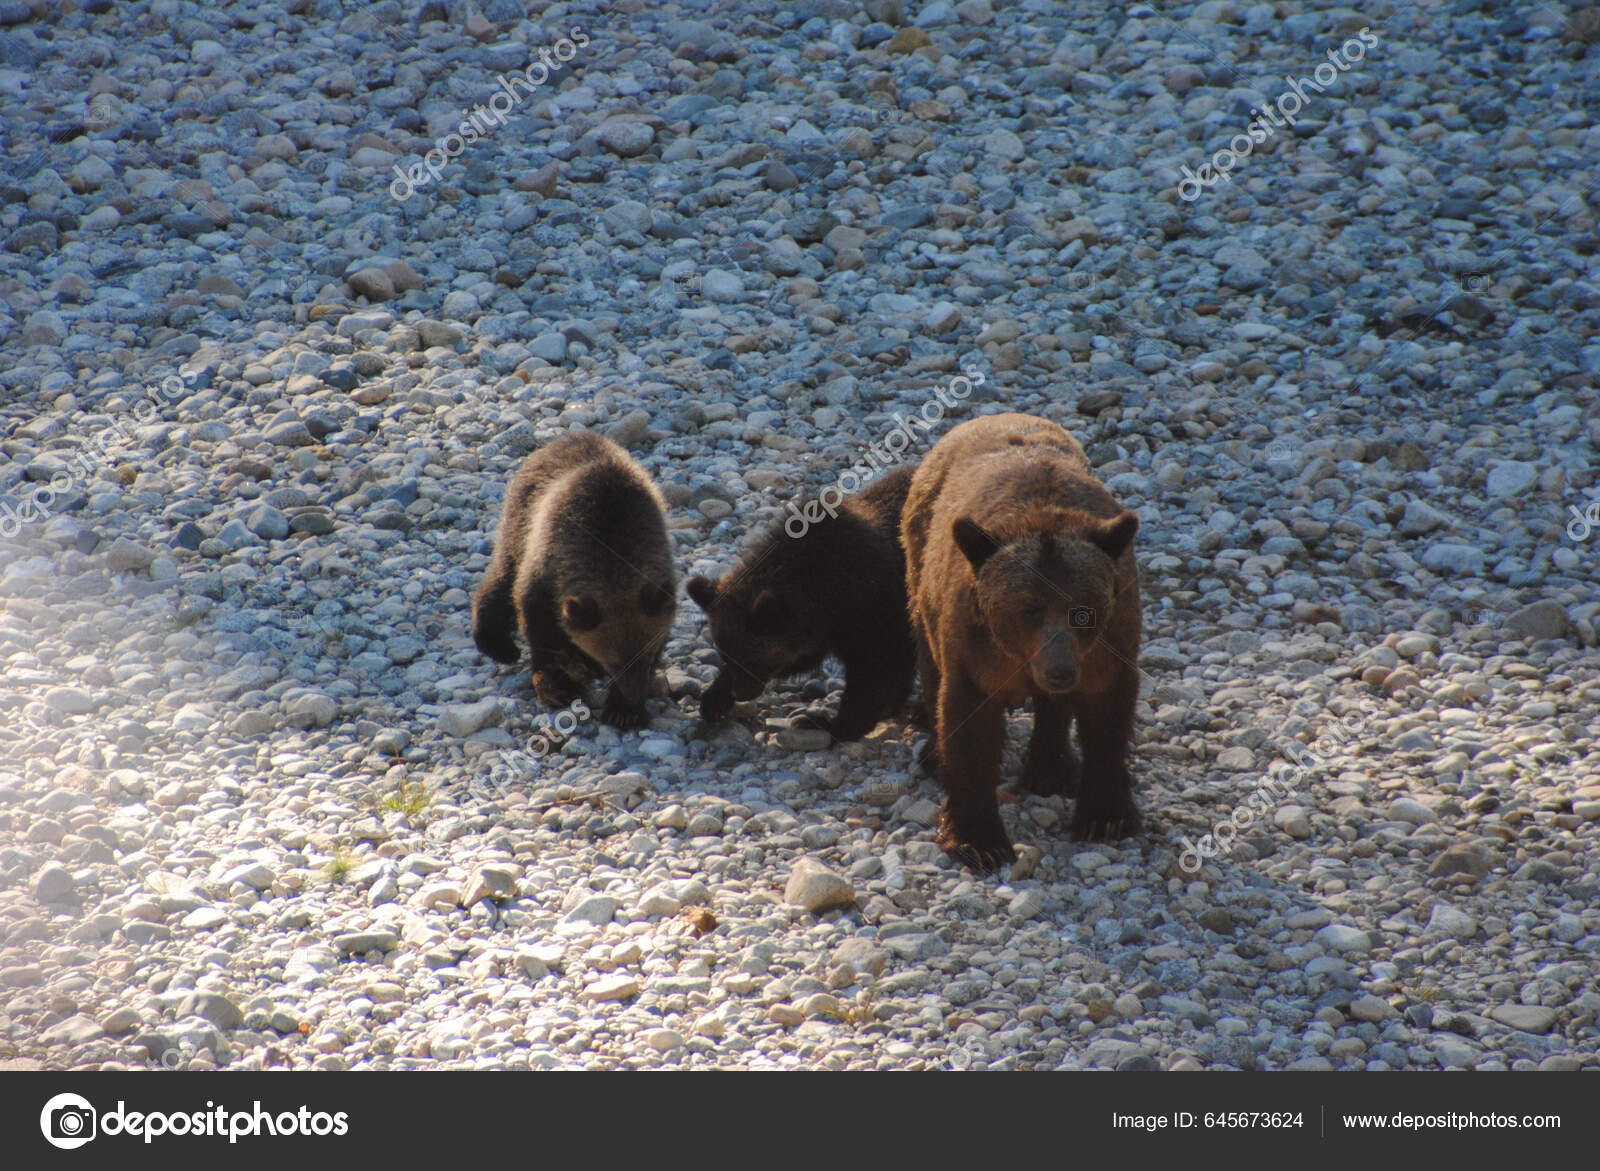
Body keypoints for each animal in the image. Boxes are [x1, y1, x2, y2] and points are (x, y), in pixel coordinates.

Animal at [472, 432, 676, 729]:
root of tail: (566, 437)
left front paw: (624, 710)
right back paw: (498, 644)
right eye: (614, 661)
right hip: (519, 520)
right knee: (502, 576)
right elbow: (539, 627)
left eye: (648, 656)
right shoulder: (545, 571)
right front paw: (558, 686)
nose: (634, 692)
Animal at [686, 465, 918, 742]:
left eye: (754, 660)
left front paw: (830, 724)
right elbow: (801, 657)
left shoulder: (872, 610)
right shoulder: (818, 627)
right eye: (726, 655)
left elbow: (875, 673)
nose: (741, 693)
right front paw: (714, 698)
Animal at [901, 412, 1142, 871]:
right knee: (926, 653)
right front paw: (979, 840)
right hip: (920, 564)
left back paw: (1053, 768)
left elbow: (1108, 714)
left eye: (1083, 610)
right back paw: (934, 754)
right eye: (1029, 609)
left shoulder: (1109, 642)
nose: (1060, 670)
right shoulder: (975, 649)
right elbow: (969, 725)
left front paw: (1105, 816)